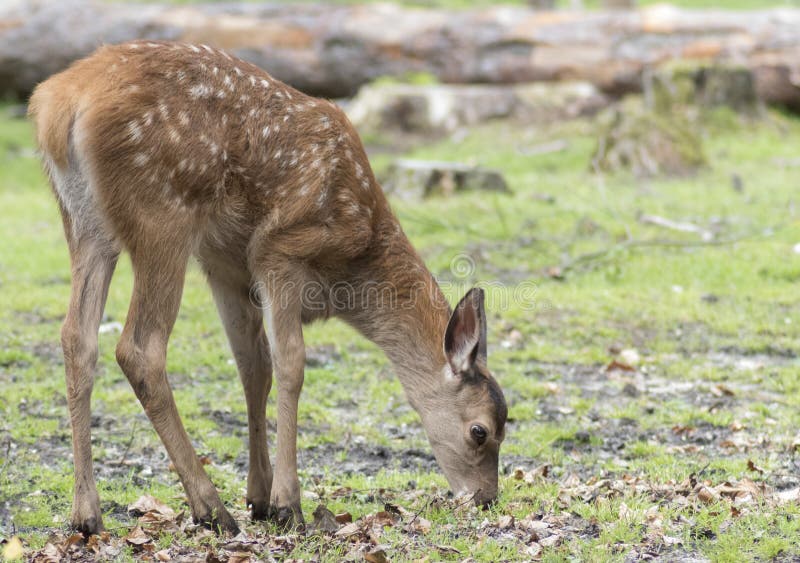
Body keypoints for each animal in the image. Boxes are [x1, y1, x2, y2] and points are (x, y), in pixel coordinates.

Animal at [28, 40, 507, 536]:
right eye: (481, 432)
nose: (486, 499)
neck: (355, 262)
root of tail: (59, 105)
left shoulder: (226, 266)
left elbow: (253, 365)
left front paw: (259, 496)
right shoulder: (280, 251)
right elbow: (291, 365)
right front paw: (286, 504)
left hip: (85, 223)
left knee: (76, 337)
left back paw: (87, 513)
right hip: (162, 216)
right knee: (140, 348)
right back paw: (209, 508)